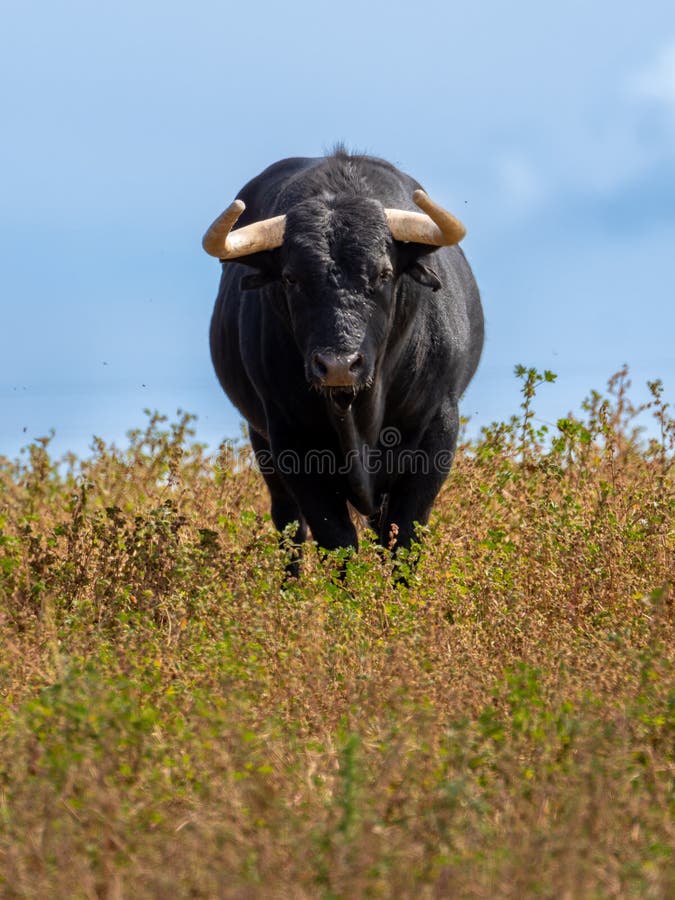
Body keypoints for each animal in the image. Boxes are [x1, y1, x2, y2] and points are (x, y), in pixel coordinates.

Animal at [204, 149, 484, 576]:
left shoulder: (438, 430)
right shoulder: (291, 441)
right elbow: (336, 540)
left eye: (384, 272)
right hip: (262, 442)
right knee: (288, 525)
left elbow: (405, 538)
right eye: (291, 278)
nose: (338, 365)